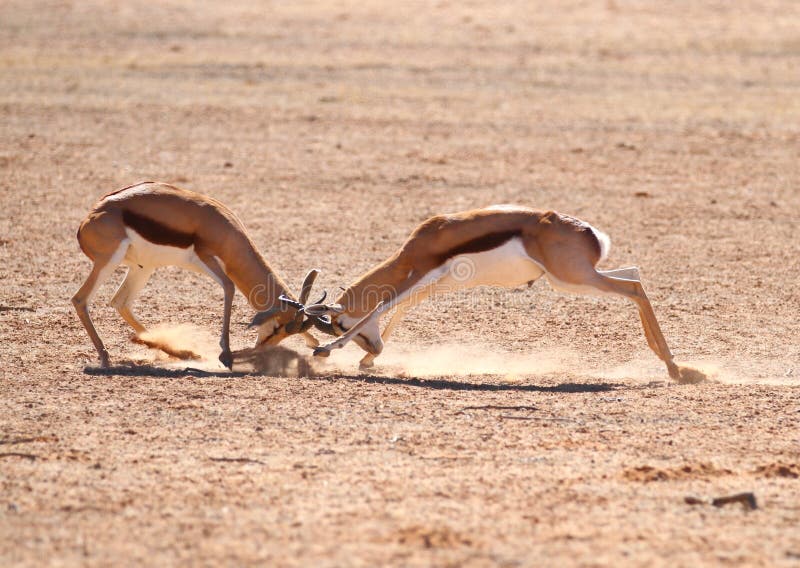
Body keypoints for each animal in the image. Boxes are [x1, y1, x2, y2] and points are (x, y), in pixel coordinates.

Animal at [72, 182, 331, 368]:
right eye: (278, 328)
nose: (261, 348)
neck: (222, 225)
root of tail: (88, 219)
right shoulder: (207, 258)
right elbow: (229, 287)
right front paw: (225, 354)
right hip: (109, 261)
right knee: (80, 299)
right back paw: (105, 358)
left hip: (142, 267)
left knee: (120, 302)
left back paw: (182, 352)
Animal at [271, 205, 694, 381]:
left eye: (340, 323)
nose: (371, 348)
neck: (425, 241)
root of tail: (590, 233)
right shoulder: (433, 284)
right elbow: (400, 310)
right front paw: (369, 360)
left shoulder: (425, 272)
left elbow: (383, 307)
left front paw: (329, 350)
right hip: (575, 278)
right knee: (636, 275)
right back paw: (678, 368)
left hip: (573, 279)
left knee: (634, 287)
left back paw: (676, 370)